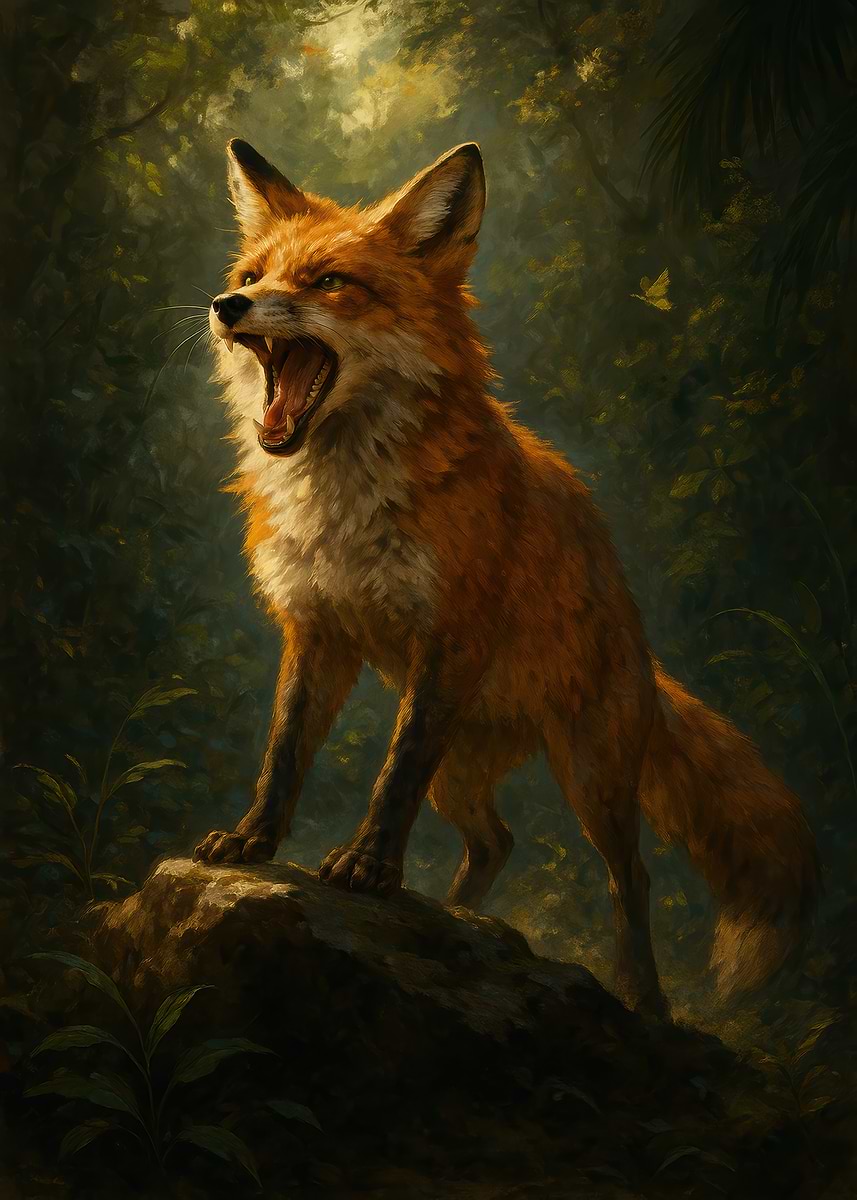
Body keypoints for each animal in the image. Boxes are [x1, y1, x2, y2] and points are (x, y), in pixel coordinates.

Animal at [193, 137, 820, 1016]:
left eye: (327, 283)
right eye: (252, 275)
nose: (226, 305)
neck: (344, 501)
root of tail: (643, 652)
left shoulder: (448, 637)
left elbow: (394, 773)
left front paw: (368, 868)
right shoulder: (316, 631)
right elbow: (283, 752)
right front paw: (253, 840)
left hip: (591, 778)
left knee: (631, 876)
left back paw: (641, 996)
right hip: (465, 774)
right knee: (497, 840)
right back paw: (458, 916)